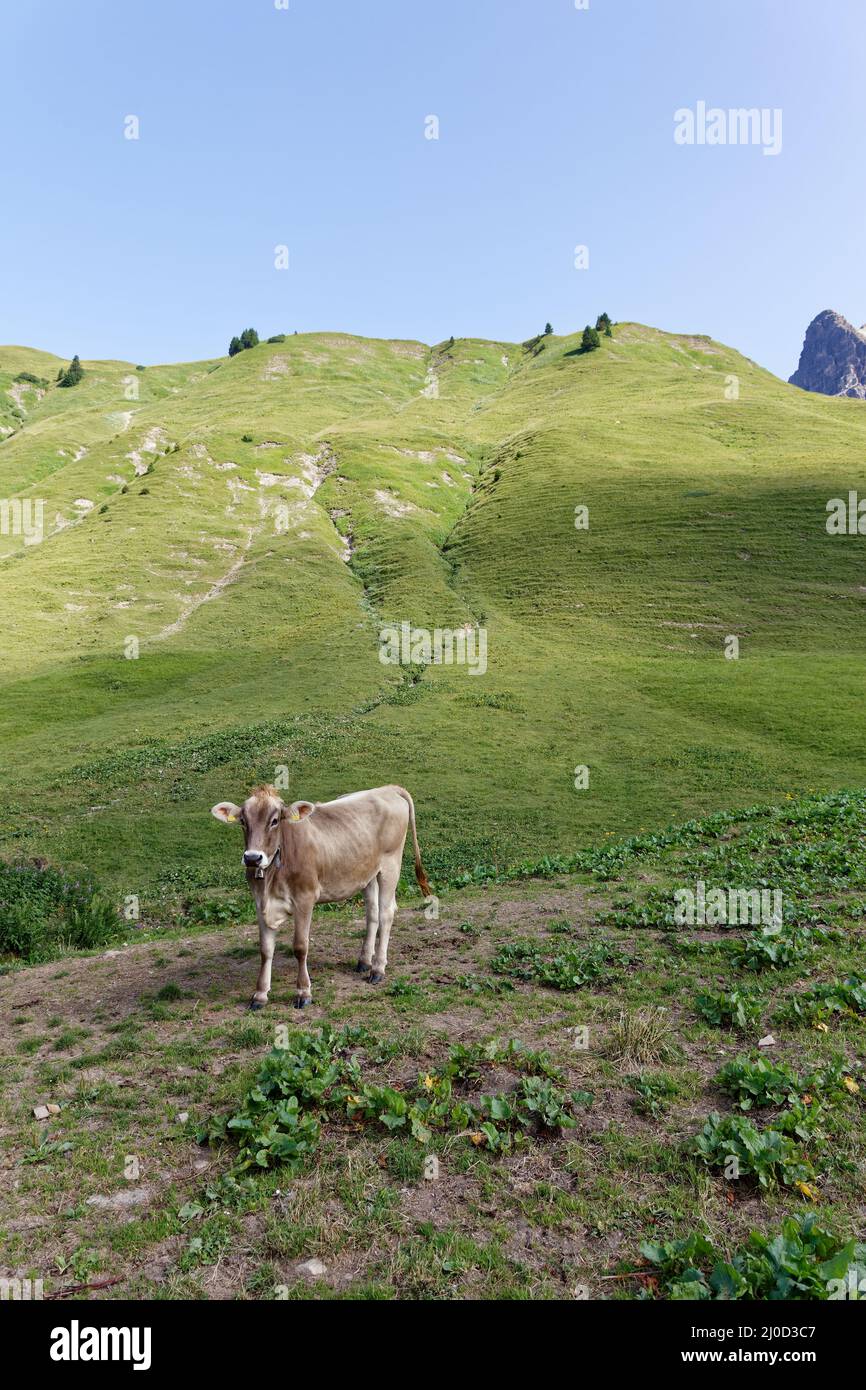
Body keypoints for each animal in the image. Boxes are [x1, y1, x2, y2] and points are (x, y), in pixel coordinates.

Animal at [210, 784, 430, 1010]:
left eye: (274, 820)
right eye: (243, 821)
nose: (252, 858)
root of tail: (388, 788)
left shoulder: (305, 898)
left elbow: (300, 947)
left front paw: (304, 992)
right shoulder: (260, 902)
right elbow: (265, 949)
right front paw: (260, 995)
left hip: (390, 864)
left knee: (386, 913)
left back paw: (377, 969)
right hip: (367, 873)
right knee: (373, 914)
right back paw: (364, 961)